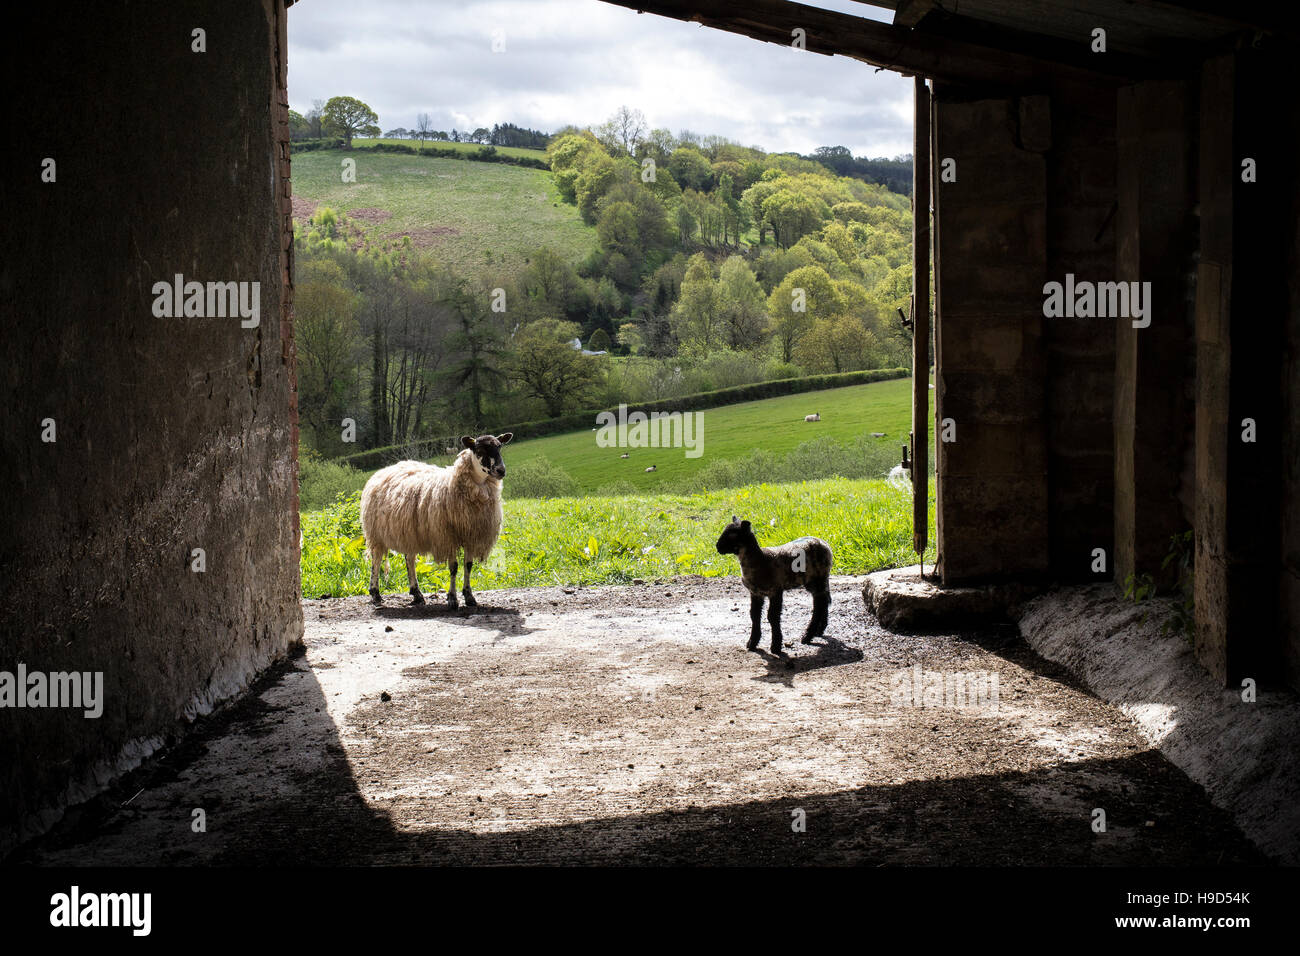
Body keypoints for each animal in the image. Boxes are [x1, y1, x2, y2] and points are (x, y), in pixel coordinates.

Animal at [360, 433, 513, 609]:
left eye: (499, 447)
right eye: (480, 450)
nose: (501, 470)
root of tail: (384, 470)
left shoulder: (470, 535)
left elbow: (468, 566)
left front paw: (469, 596)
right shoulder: (448, 536)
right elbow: (453, 567)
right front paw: (452, 598)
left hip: (408, 531)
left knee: (409, 560)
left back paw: (417, 594)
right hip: (376, 534)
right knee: (376, 560)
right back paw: (375, 593)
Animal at [715, 515, 833, 656]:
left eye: (732, 535)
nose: (717, 547)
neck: (761, 560)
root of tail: (825, 544)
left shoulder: (775, 590)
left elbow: (772, 616)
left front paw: (776, 646)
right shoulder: (756, 593)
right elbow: (754, 615)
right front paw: (752, 643)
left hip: (818, 578)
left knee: (819, 604)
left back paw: (807, 636)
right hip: (814, 581)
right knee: (823, 600)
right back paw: (819, 631)